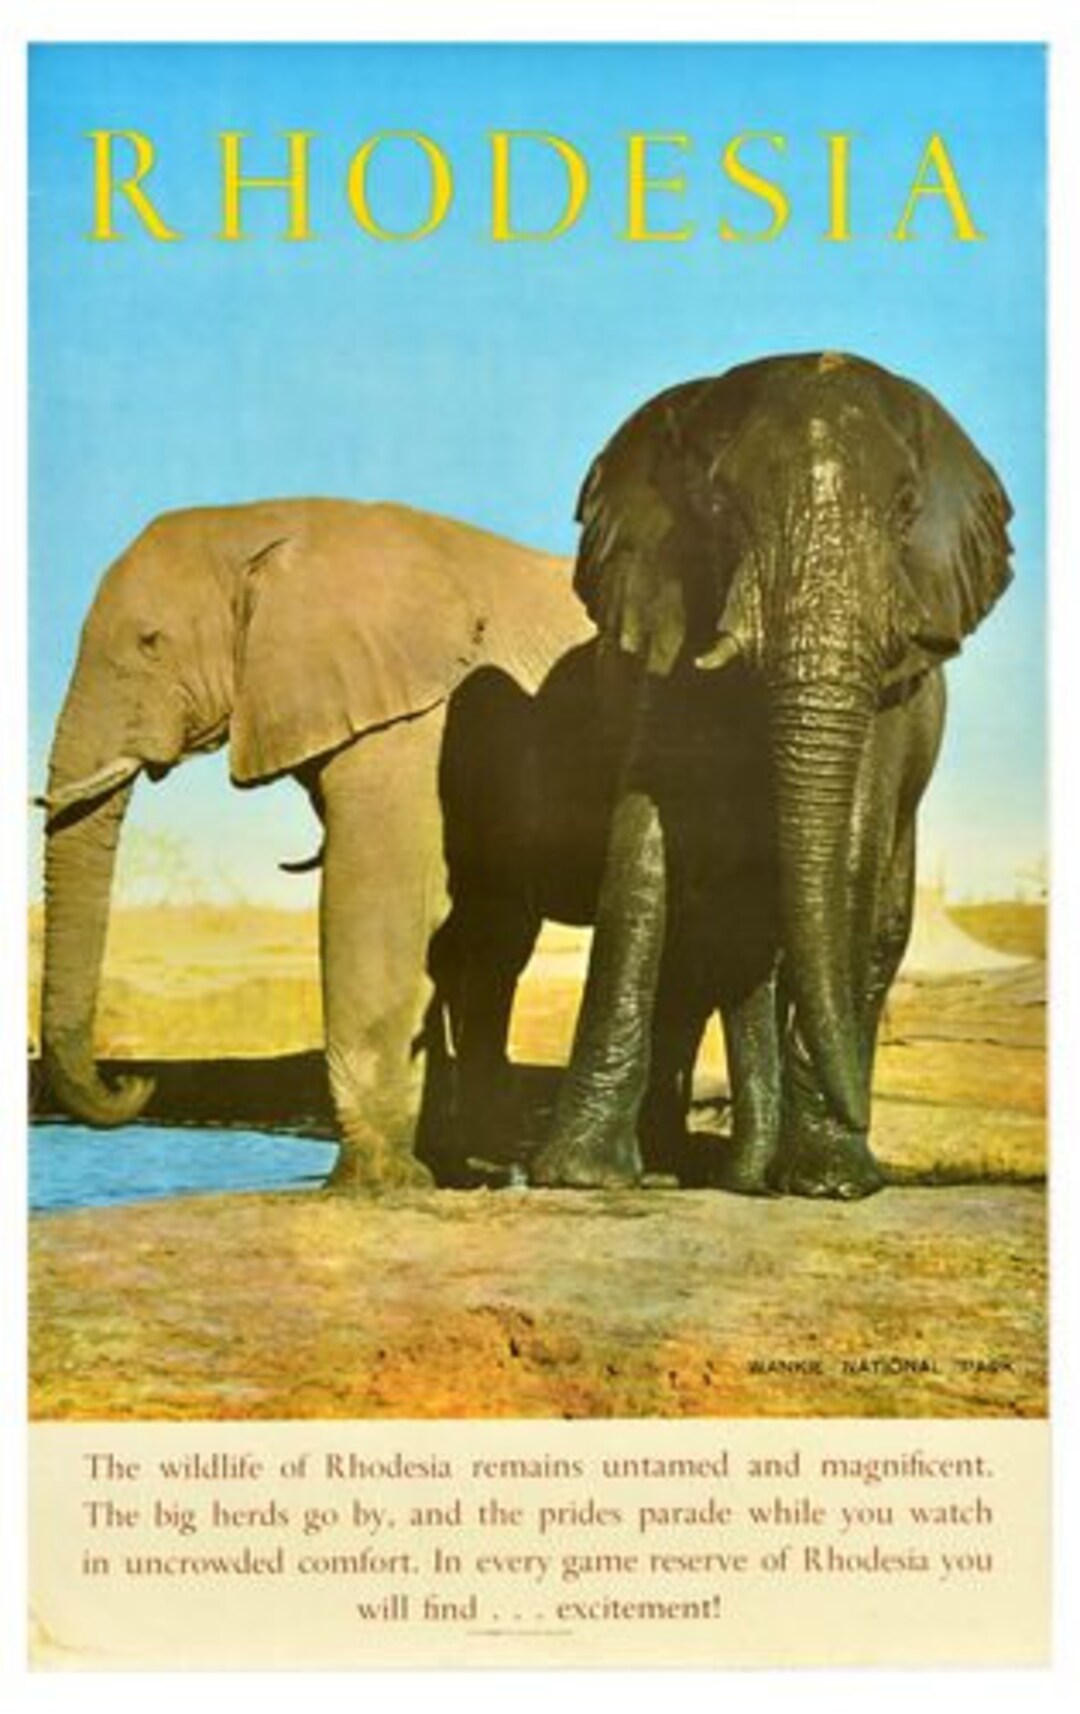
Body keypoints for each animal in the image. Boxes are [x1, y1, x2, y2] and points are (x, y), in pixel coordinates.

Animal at [37, 498, 593, 1193]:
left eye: (150, 641)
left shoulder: (414, 724)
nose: (133, 1080)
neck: (269, 525)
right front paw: (430, 1169)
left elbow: (376, 899)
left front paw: (371, 1183)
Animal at [526, 351, 1013, 1199]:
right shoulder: (667, 625)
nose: (861, 1113)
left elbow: (851, 846)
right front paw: (578, 1176)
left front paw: (829, 1180)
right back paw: (731, 1170)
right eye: (718, 505)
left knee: (872, 924)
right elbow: (645, 838)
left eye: (907, 507)